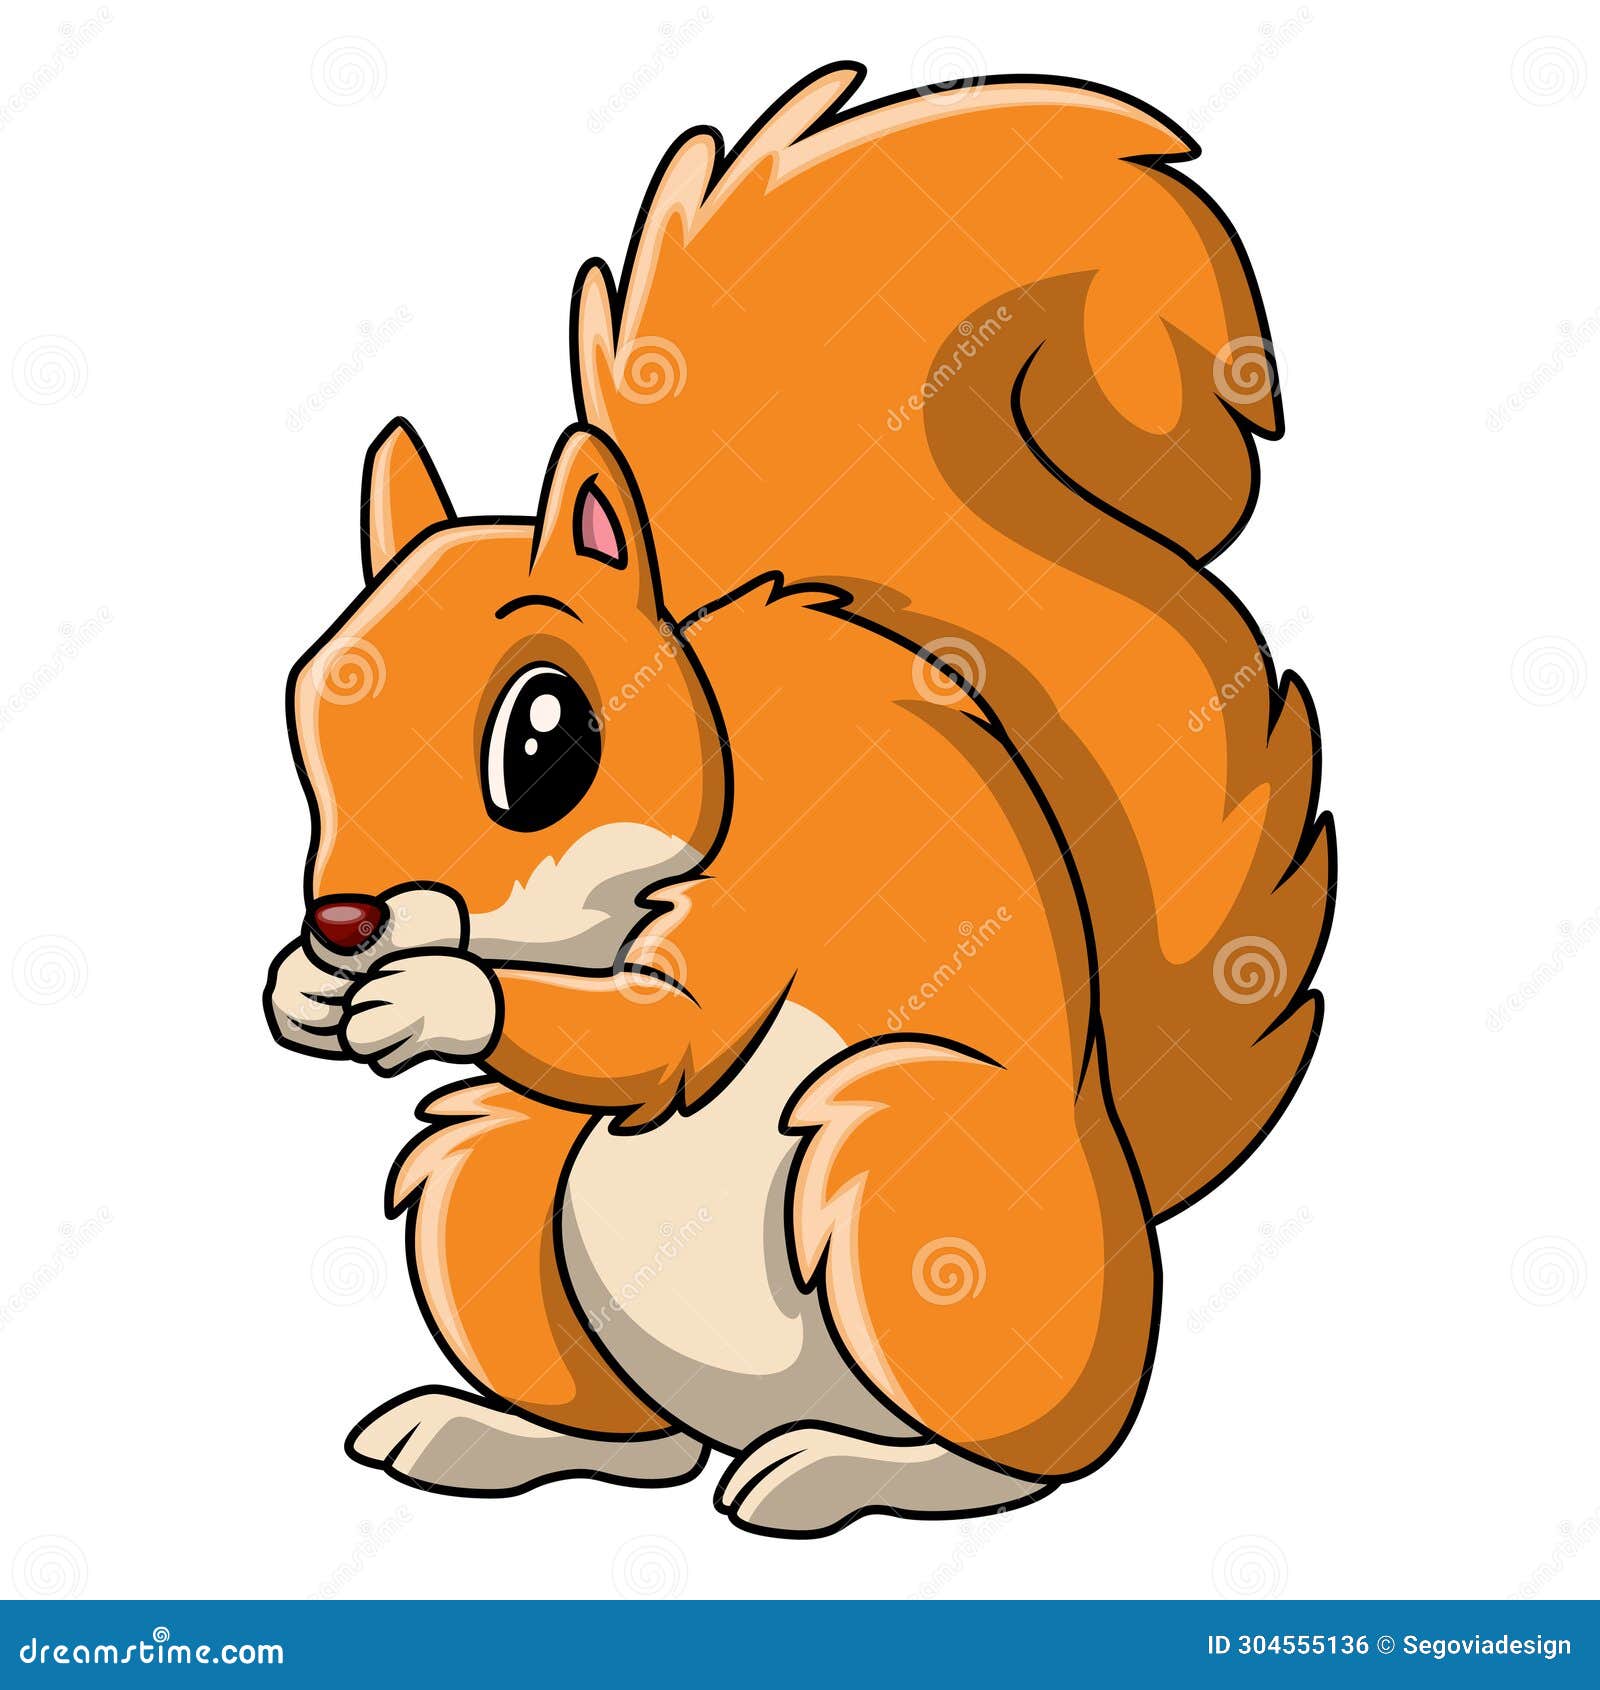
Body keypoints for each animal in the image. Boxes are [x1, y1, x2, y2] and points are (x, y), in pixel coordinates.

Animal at [266, 66, 1333, 1538]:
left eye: (544, 740)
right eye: (308, 705)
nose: (347, 922)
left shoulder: (777, 878)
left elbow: (669, 1033)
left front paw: (440, 996)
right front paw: (303, 994)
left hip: (912, 1163)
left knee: (1024, 1459)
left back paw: (839, 1470)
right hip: (494, 1184)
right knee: (644, 1441)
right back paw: (492, 1432)